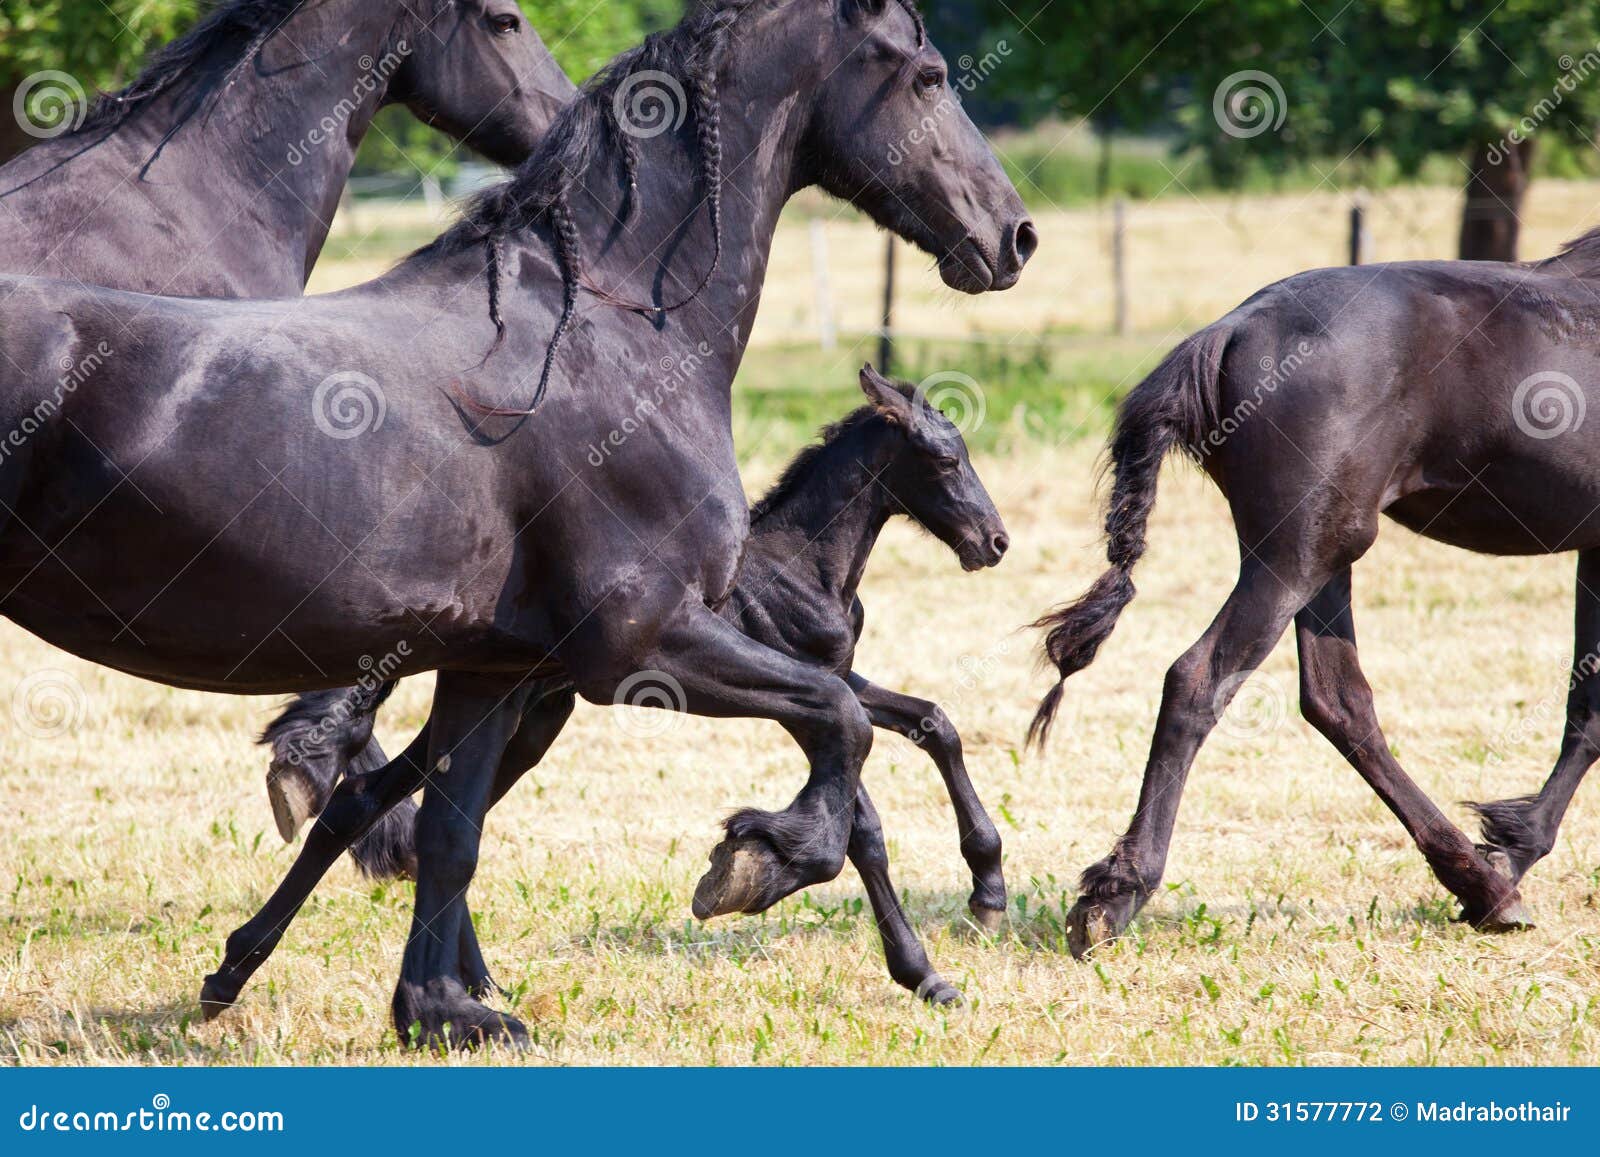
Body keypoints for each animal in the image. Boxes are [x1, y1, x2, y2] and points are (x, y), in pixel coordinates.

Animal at [213, 364, 1010, 1011]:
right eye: (945, 458)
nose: (994, 541)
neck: (802, 566)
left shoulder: (841, 678)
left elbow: (934, 721)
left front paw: (987, 887)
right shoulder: (801, 695)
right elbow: (864, 828)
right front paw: (910, 962)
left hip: (531, 721)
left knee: (405, 816)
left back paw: (455, 984)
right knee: (376, 806)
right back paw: (248, 971)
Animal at [1024, 229, 1600, 957]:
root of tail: (1232, 329)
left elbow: (1586, 706)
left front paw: (1511, 846)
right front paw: (1515, 843)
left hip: (1320, 556)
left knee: (1336, 700)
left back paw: (1481, 885)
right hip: (1299, 556)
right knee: (1199, 679)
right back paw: (1117, 892)